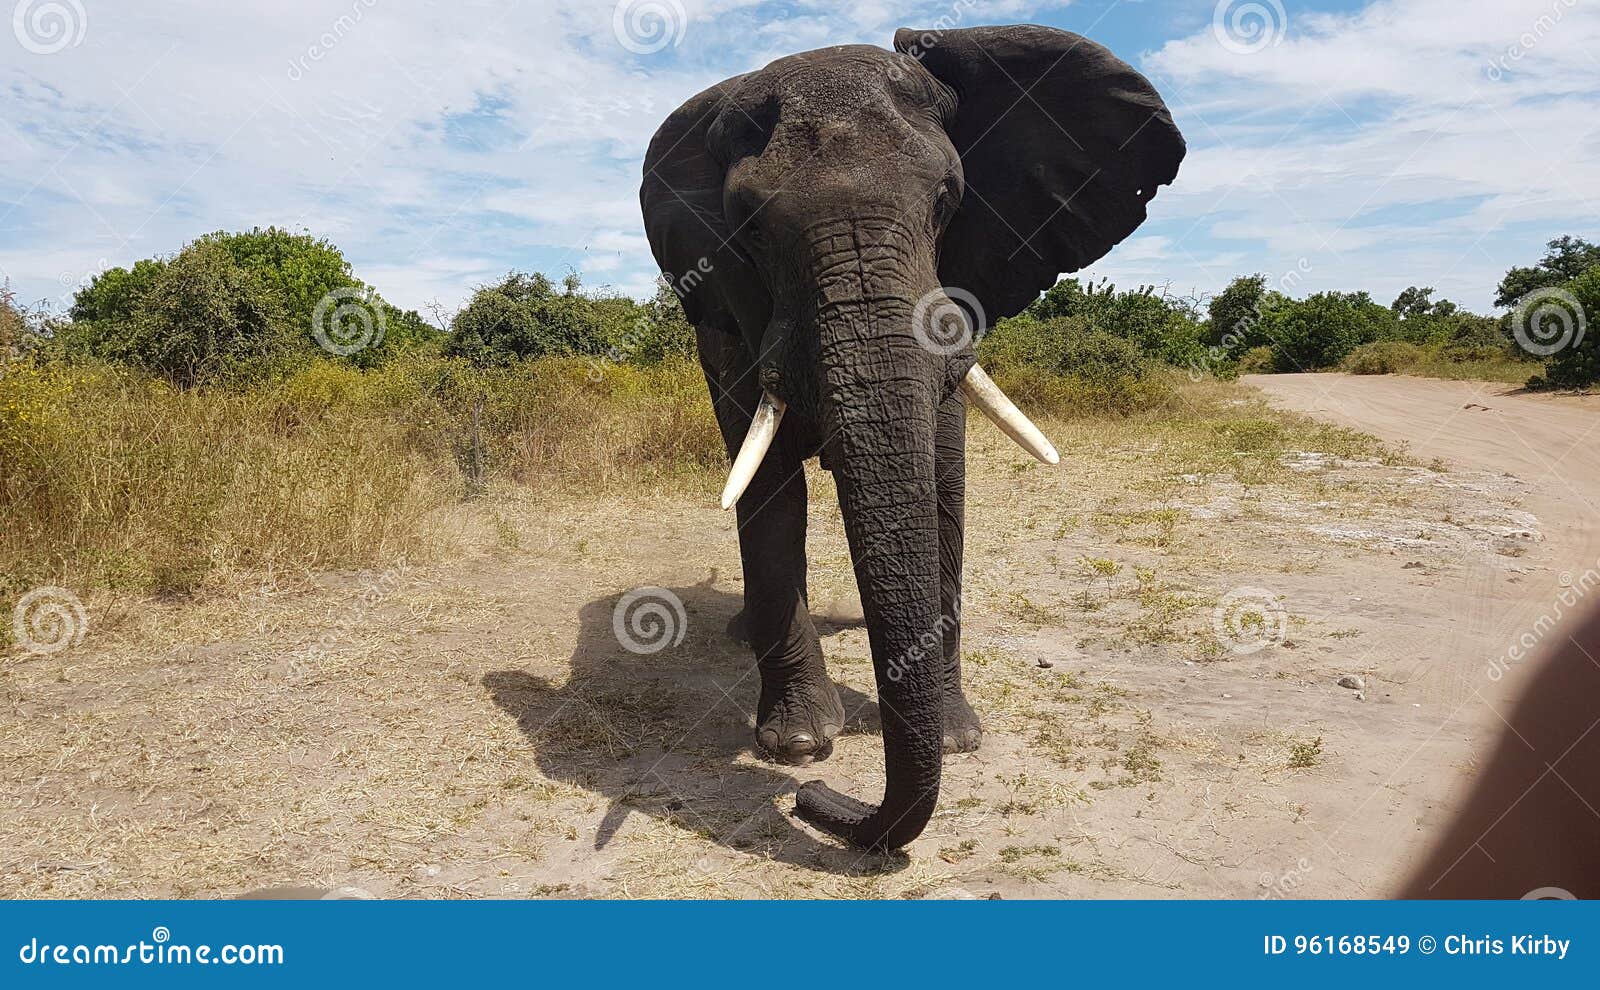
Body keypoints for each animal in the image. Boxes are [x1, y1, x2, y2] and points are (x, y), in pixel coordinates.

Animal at [638, 24, 1185, 851]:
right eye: (751, 228)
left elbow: (945, 487)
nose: (815, 803)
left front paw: (958, 738)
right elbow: (768, 500)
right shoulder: (732, 326)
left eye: (947, 200)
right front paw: (800, 747)